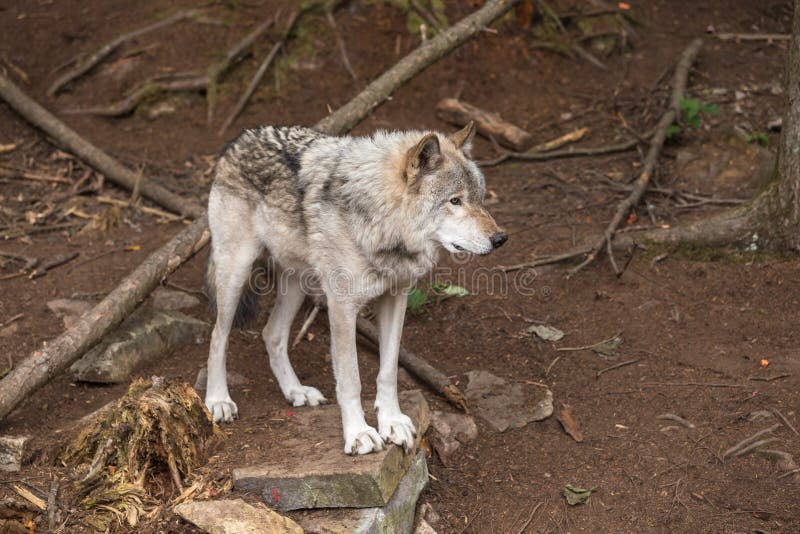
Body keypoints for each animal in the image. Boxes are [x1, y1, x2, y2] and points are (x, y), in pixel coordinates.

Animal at [204, 120, 507, 455]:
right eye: (455, 201)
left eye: (480, 198)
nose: (500, 239)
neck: (382, 222)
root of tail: (241, 137)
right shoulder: (342, 307)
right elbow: (351, 380)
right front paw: (359, 434)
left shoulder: (395, 299)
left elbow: (388, 371)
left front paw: (392, 422)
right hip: (236, 272)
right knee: (218, 336)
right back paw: (217, 401)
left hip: (297, 283)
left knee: (272, 334)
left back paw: (296, 391)